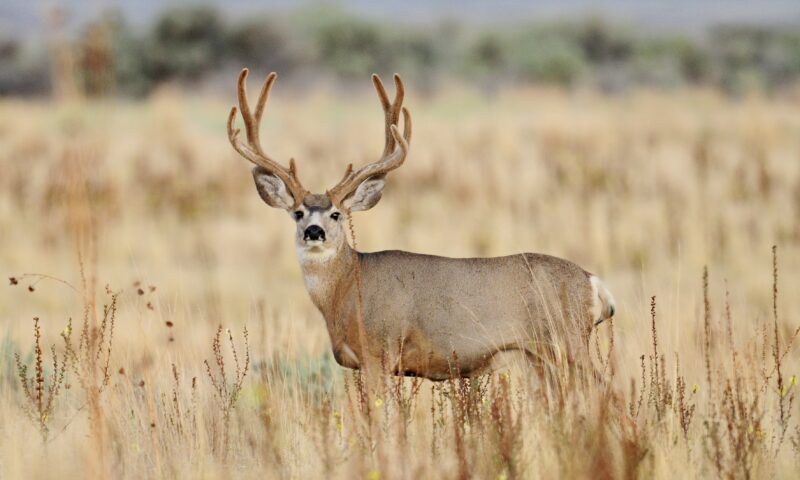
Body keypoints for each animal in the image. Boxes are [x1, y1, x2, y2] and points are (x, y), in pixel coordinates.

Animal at [227, 68, 615, 385]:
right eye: (298, 213)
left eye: (336, 213)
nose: (314, 232)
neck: (348, 289)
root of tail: (592, 282)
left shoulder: (380, 352)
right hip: (540, 359)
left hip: (567, 341)